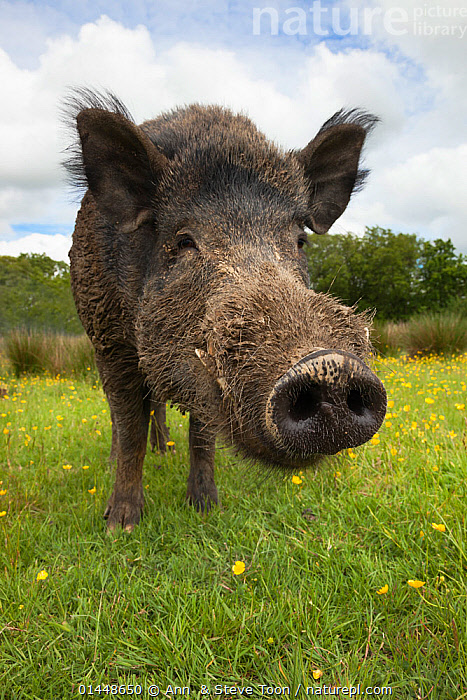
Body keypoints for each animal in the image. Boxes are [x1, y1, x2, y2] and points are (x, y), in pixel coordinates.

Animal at [65, 89, 387, 532]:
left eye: (299, 240)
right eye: (184, 241)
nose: (329, 366)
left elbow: (202, 434)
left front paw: (205, 508)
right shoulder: (112, 342)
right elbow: (129, 428)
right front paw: (121, 526)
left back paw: (166, 450)